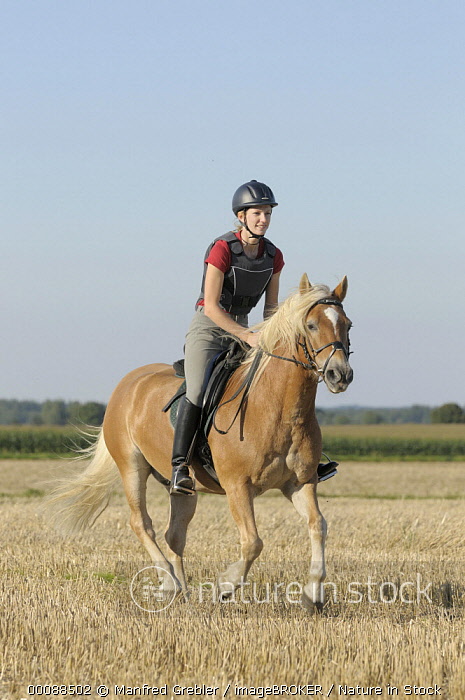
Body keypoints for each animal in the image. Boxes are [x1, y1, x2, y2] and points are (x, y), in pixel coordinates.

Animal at [47, 273, 353, 612]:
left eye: (348, 325)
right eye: (311, 325)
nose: (340, 375)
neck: (278, 408)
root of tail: (127, 383)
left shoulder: (300, 483)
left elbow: (318, 525)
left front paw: (313, 595)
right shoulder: (237, 486)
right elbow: (253, 542)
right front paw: (226, 584)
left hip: (182, 487)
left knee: (174, 534)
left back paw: (180, 590)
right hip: (131, 467)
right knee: (141, 523)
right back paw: (168, 582)